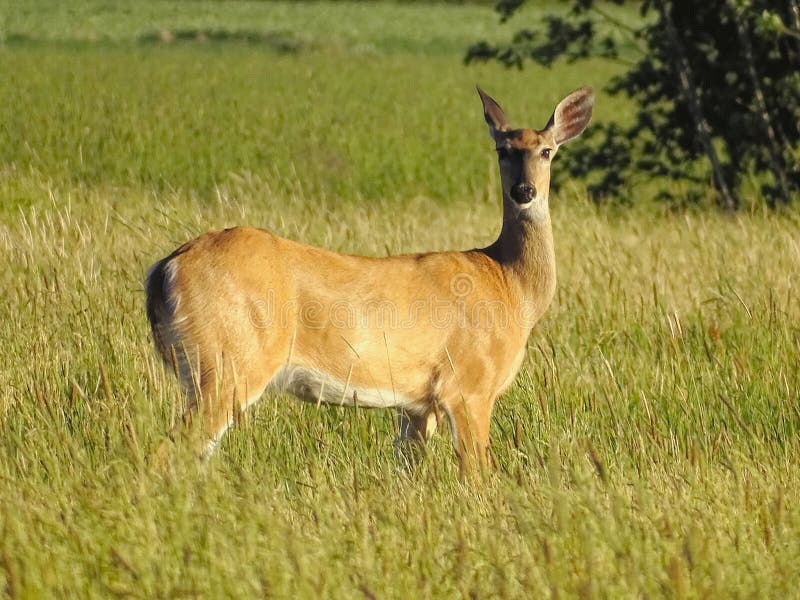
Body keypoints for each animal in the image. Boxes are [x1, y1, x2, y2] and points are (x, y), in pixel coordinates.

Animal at [145, 86, 594, 476]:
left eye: (547, 151)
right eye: (503, 150)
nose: (524, 190)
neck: (511, 285)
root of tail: (164, 269)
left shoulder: (417, 404)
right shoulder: (468, 385)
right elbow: (478, 474)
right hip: (229, 361)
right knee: (170, 450)